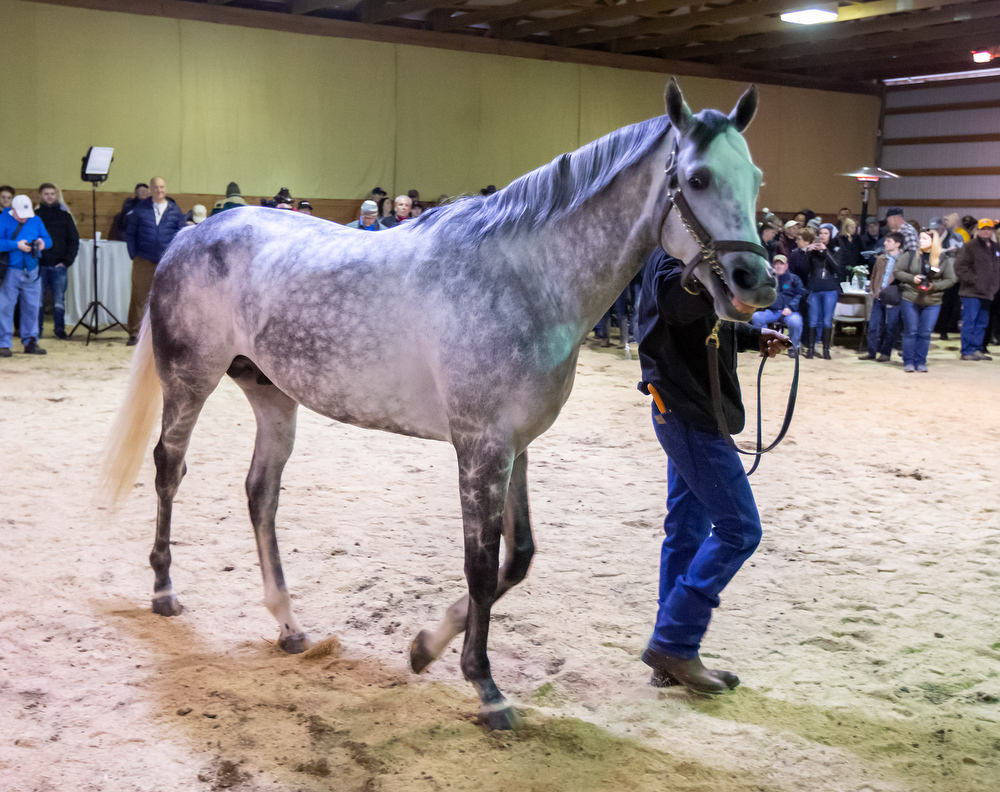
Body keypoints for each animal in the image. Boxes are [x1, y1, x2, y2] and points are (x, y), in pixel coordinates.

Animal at [101, 78, 775, 731]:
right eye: (698, 179)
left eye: (756, 178)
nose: (758, 282)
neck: (524, 280)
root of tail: (193, 232)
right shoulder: (480, 446)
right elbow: (480, 564)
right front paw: (485, 688)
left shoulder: (514, 448)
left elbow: (517, 558)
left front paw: (425, 647)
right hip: (190, 381)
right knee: (169, 468)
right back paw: (163, 591)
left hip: (272, 396)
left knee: (260, 493)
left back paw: (289, 625)